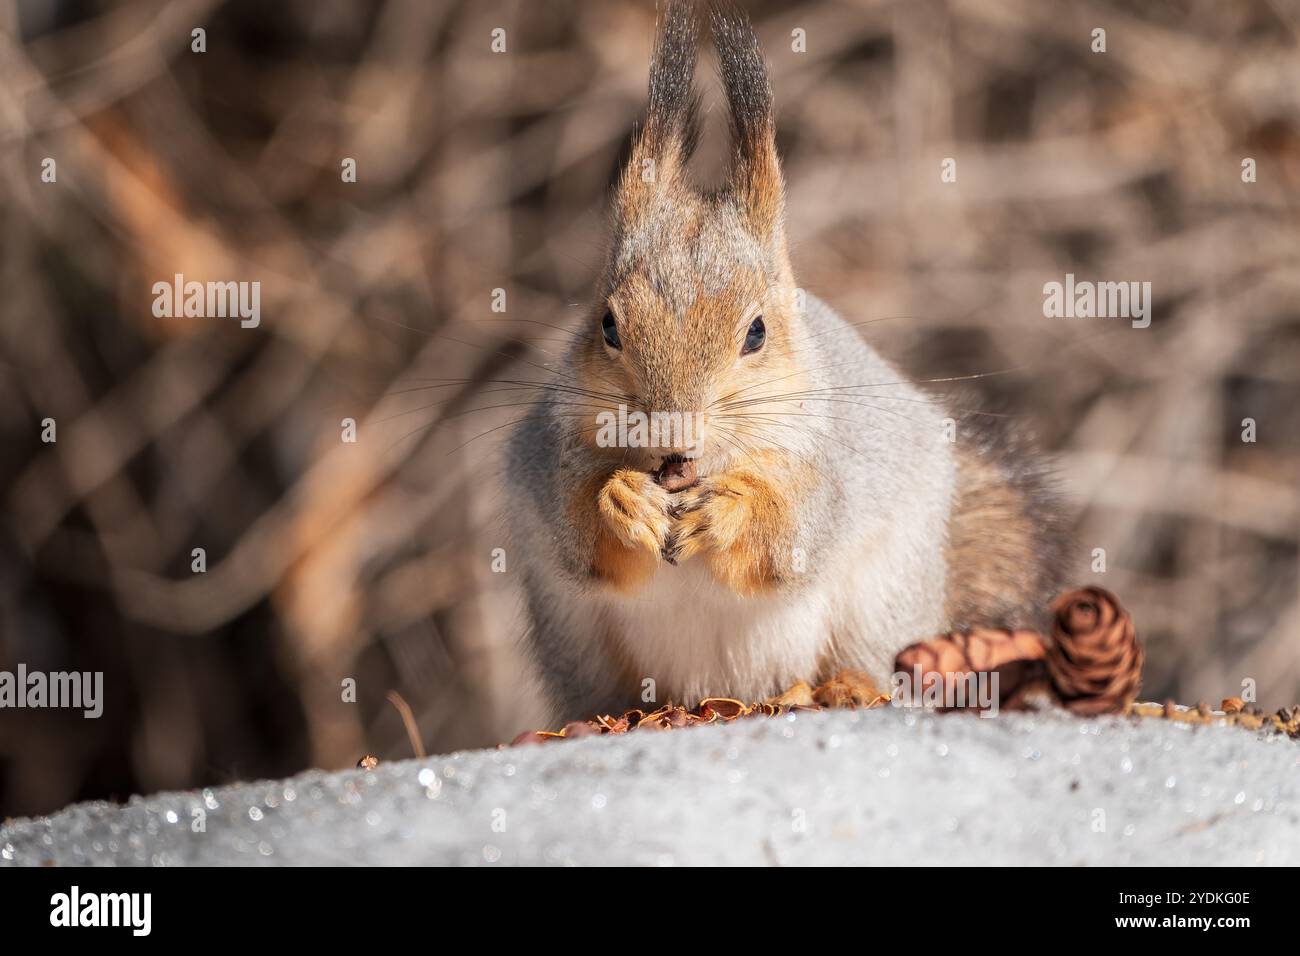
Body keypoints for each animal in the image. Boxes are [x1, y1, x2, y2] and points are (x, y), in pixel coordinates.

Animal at [505, 1, 1067, 722]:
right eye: (606, 325)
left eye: (756, 333)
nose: (673, 434)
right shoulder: (551, 460)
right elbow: (582, 538)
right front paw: (623, 500)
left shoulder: (825, 468)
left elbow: (788, 536)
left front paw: (730, 510)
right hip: (576, 643)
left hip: (884, 601)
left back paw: (846, 687)